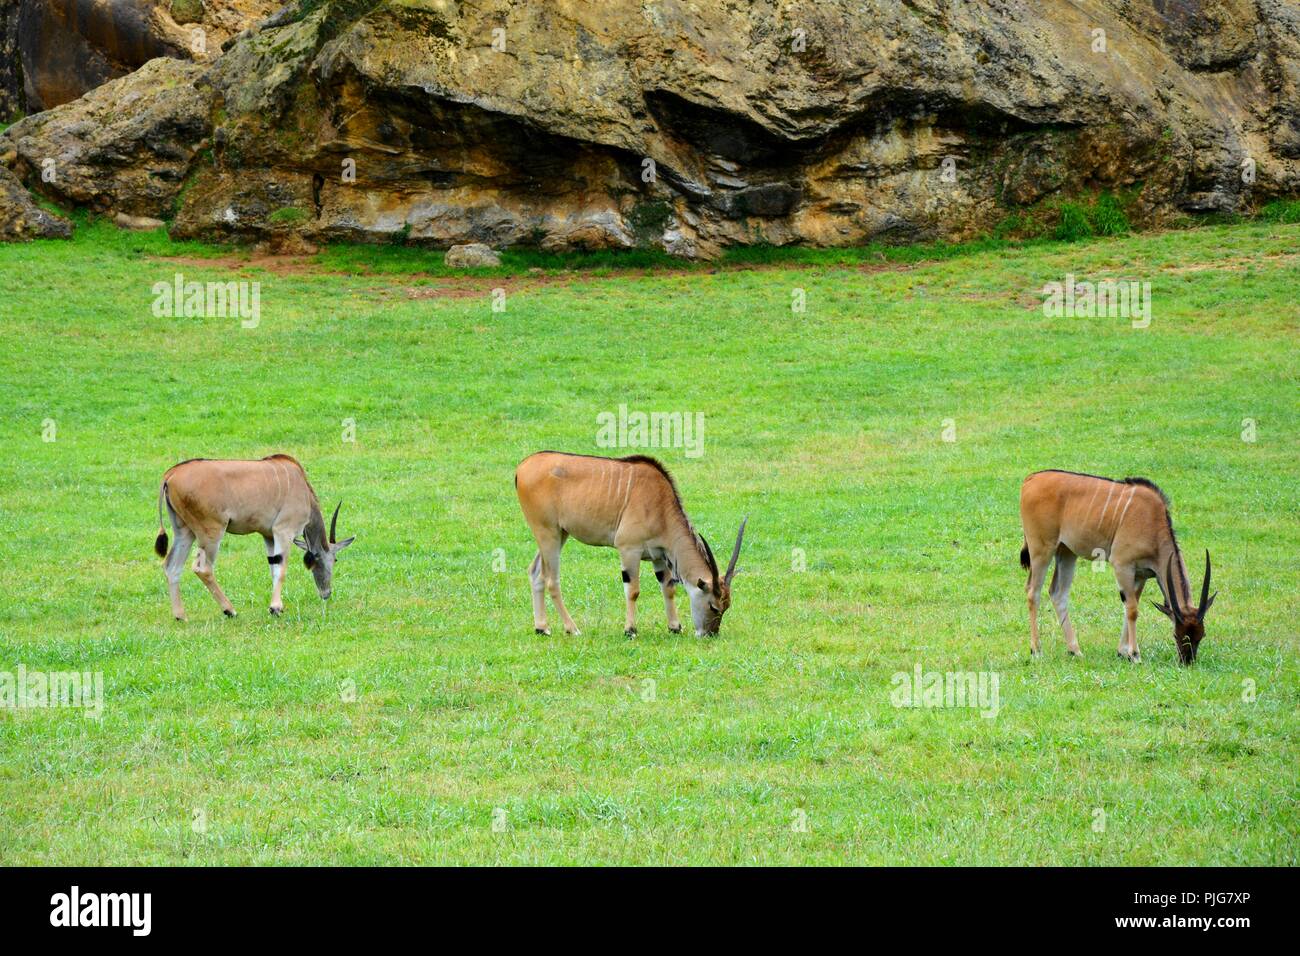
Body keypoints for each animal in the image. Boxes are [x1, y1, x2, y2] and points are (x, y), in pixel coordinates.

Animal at [153, 455, 355, 620]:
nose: (326, 594)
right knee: (202, 568)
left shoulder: (268, 535)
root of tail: (171, 474)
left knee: (172, 566)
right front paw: (275, 607)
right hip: (211, 533)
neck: (303, 488)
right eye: (334, 559)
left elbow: (274, 566)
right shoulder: (283, 530)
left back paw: (180, 616)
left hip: (184, 532)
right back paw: (230, 610)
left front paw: (275, 608)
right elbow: (281, 570)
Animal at [515, 451, 746, 638]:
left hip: (559, 534)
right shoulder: (629, 550)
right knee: (551, 580)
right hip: (548, 533)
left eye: (727, 607)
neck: (660, 504)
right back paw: (572, 629)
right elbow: (633, 591)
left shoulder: (658, 556)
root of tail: (523, 466)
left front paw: (674, 627)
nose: (710, 634)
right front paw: (630, 630)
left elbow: (668, 588)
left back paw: (542, 628)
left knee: (536, 572)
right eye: (714, 607)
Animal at [1019, 470, 1215, 665]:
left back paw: (1075, 650)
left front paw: (1122, 652)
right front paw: (1135, 654)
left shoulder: (1141, 575)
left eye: (1201, 635)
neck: (1153, 521)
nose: (1187, 661)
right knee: (1033, 592)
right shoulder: (1122, 565)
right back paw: (1036, 651)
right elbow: (1132, 610)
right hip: (1041, 550)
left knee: (1058, 594)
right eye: (1178, 635)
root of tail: (1031, 479)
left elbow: (1130, 605)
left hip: (1066, 552)